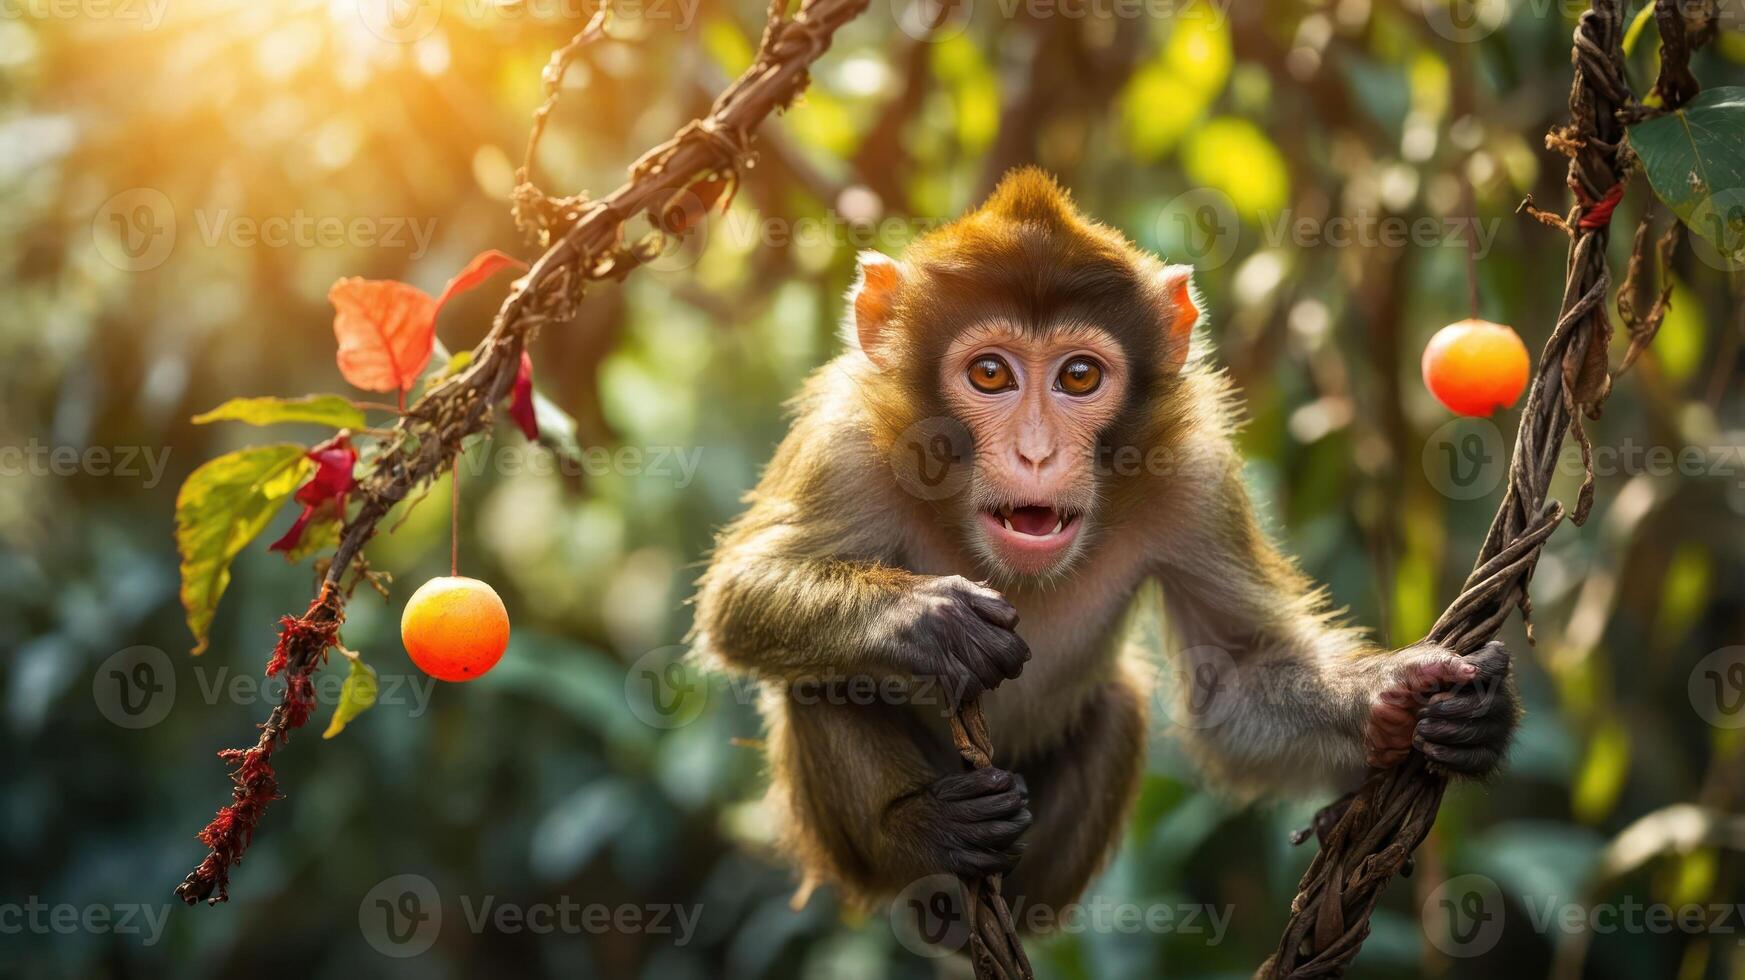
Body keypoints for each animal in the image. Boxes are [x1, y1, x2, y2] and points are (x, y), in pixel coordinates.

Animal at [688, 168, 1519, 923]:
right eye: (988, 373)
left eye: (1080, 376)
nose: (1034, 452)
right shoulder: (850, 442)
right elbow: (737, 596)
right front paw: (928, 622)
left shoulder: (1194, 476)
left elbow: (1234, 681)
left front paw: (1407, 699)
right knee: (819, 681)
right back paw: (921, 836)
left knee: (1121, 700)